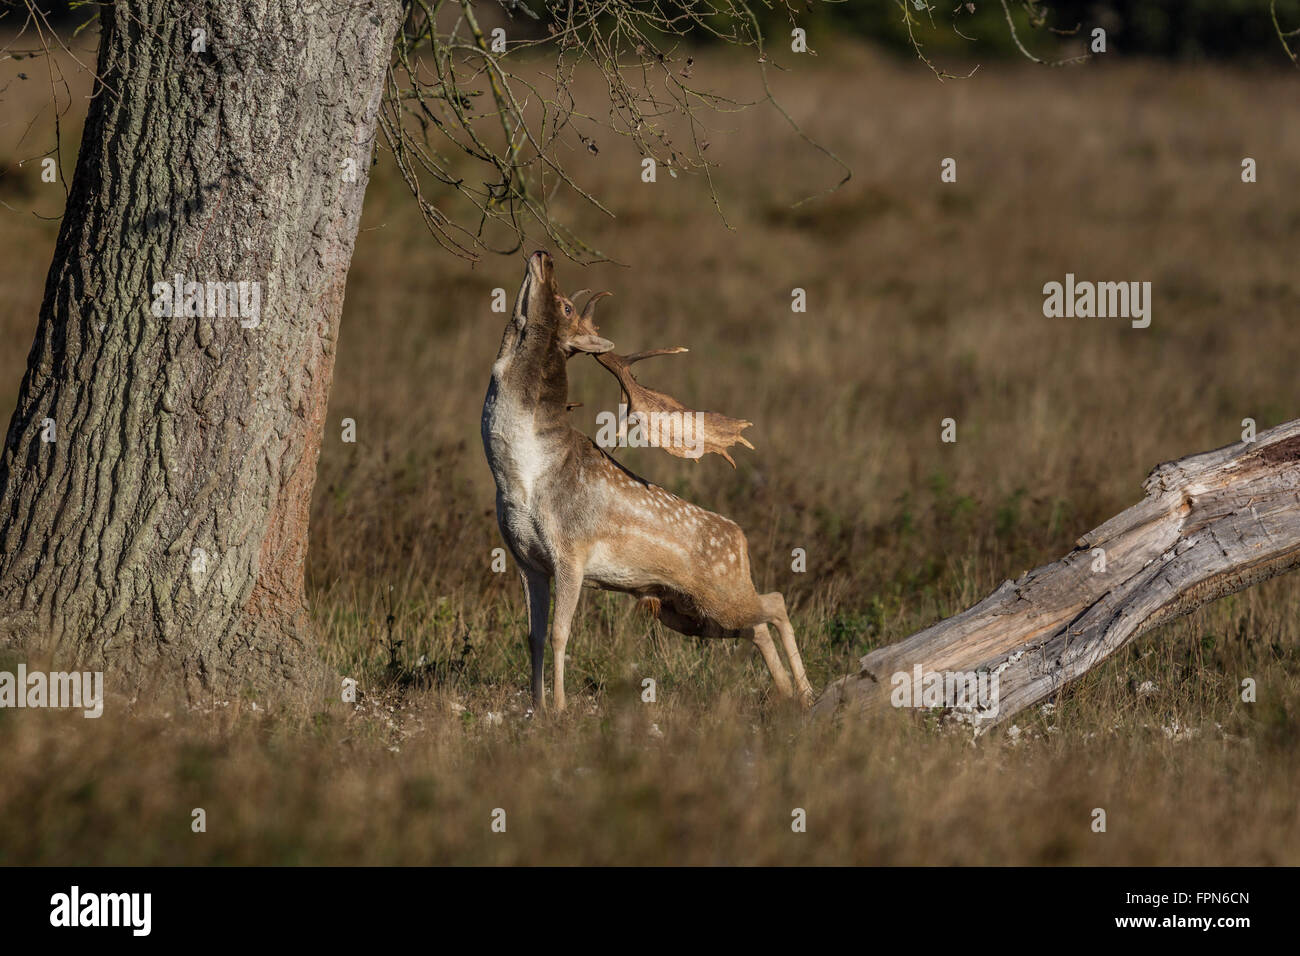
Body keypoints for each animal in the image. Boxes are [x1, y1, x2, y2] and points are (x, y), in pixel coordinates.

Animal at [481, 250, 814, 713]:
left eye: (565, 306)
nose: (544, 255)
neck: (520, 477)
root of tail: (742, 541)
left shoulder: (571, 550)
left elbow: (560, 634)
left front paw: (561, 708)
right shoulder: (526, 560)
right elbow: (533, 637)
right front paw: (537, 707)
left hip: (722, 593)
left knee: (776, 603)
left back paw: (807, 692)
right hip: (687, 612)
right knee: (757, 625)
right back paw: (785, 693)